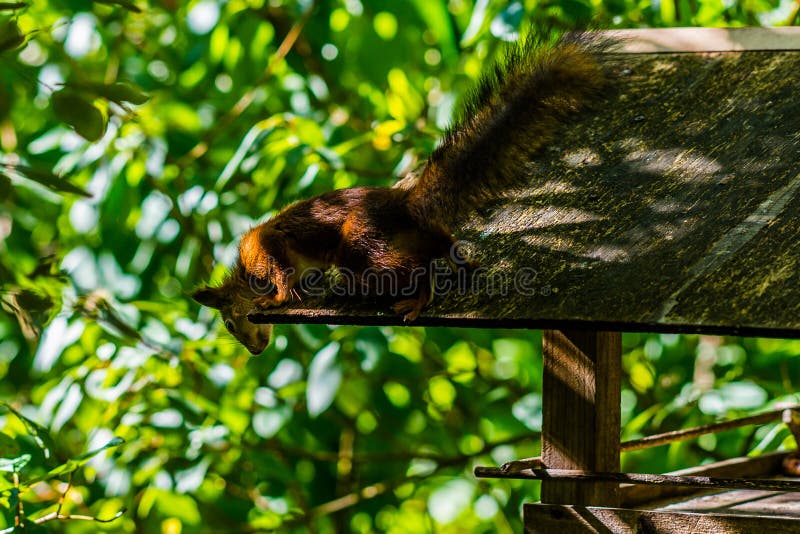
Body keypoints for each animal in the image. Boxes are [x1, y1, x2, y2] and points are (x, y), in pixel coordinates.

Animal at [192, 32, 613, 354]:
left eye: (230, 324)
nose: (254, 350)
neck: (244, 274)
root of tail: (406, 206)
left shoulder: (263, 247)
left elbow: (280, 274)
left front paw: (275, 298)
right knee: (438, 250)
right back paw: (463, 263)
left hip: (360, 244)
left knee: (413, 268)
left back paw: (419, 297)